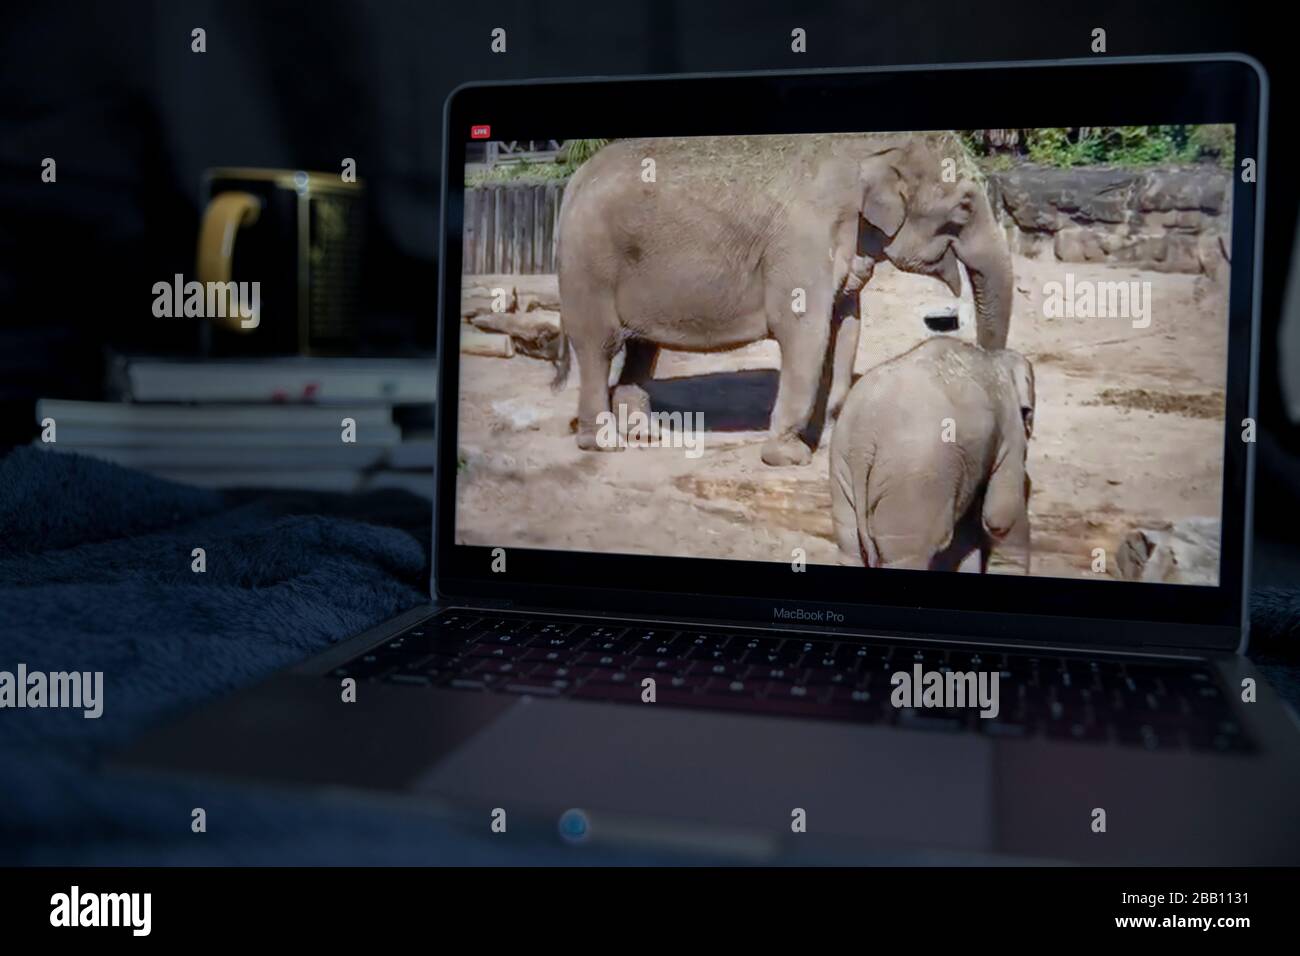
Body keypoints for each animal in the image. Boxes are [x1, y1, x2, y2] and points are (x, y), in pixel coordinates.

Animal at [551, 132, 1014, 465]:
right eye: (965, 206)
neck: (870, 148)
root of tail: (574, 181)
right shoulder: (802, 242)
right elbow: (805, 333)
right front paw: (789, 456)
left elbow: (846, 329)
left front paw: (823, 441)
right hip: (588, 265)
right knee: (599, 345)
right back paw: (603, 444)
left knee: (643, 348)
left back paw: (646, 434)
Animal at [829, 337, 1035, 572]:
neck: (995, 358)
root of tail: (864, 437)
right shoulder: (1009, 430)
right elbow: (1000, 514)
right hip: (913, 483)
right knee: (908, 554)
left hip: (843, 463)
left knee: (849, 546)